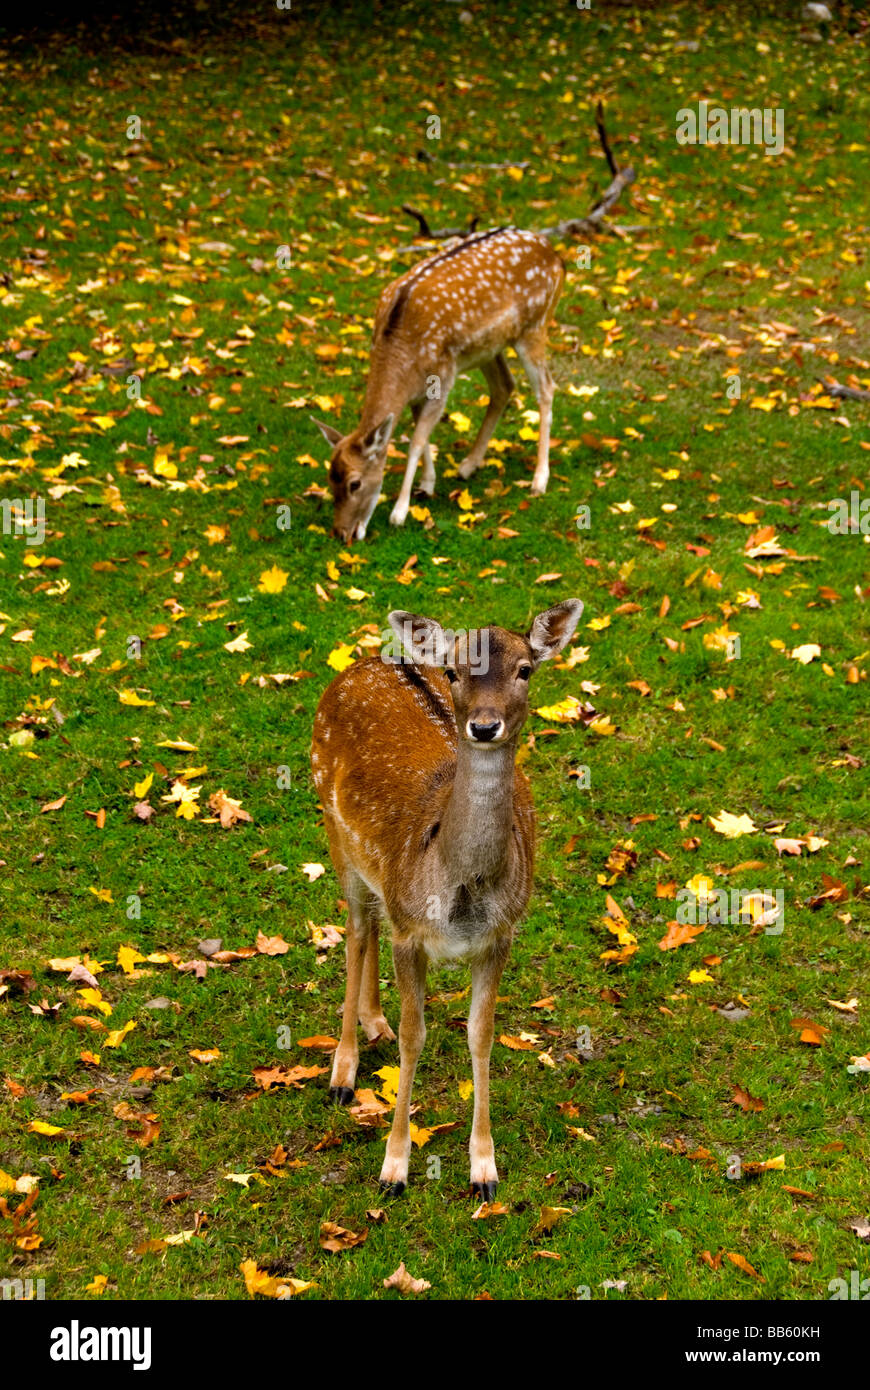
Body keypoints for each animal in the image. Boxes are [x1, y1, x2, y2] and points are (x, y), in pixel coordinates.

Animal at [310, 599, 583, 1197]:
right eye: (456, 672)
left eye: (525, 669)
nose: (483, 725)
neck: (461, 893)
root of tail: (374, 659)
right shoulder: (413, 935)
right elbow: (415, 1038)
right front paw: (393, 1168)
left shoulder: (500, 936)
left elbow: (481, 1035)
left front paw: (485, 1169)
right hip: (335, 832)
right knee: (356, 931)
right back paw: (343, 1070)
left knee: (373, 923)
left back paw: (374, 1020)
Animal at [311, 226, 565, 543]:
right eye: (330, 478)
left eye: (354, 483)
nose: (340, 533)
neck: (403, 354)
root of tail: (557, 257)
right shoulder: (418, 392)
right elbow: (421, 433)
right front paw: (427, 485)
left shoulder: (442, 378)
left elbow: (416, 441)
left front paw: (399, 512)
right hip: (488, 348)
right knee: (505, 386)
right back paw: (468, 465)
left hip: (534, 326)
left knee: (546, 388)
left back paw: (539, 480)